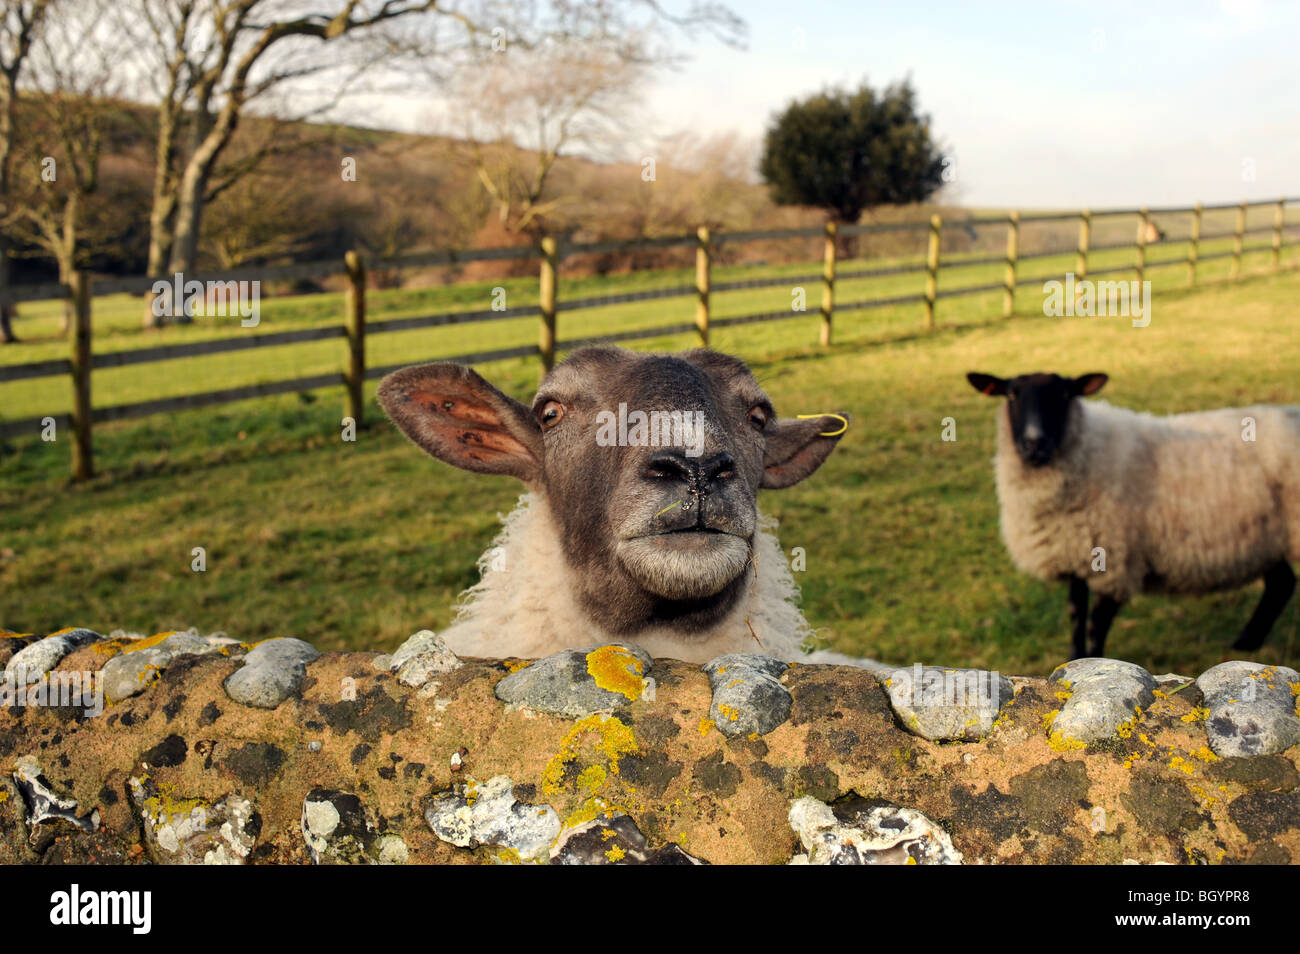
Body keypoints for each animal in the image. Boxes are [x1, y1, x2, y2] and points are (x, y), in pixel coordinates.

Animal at [966, 370, 1300, 658]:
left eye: (1064, 394)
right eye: (1011, 394)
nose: (1034, 444)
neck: (1087, 450)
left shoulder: (1115, 561)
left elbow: (1095, 625)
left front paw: (1093, 661)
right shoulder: (1076, 554)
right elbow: (1076, 614)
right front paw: (1073, 659)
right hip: (1268, 536)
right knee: (1281, 583)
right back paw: (1247, 642)